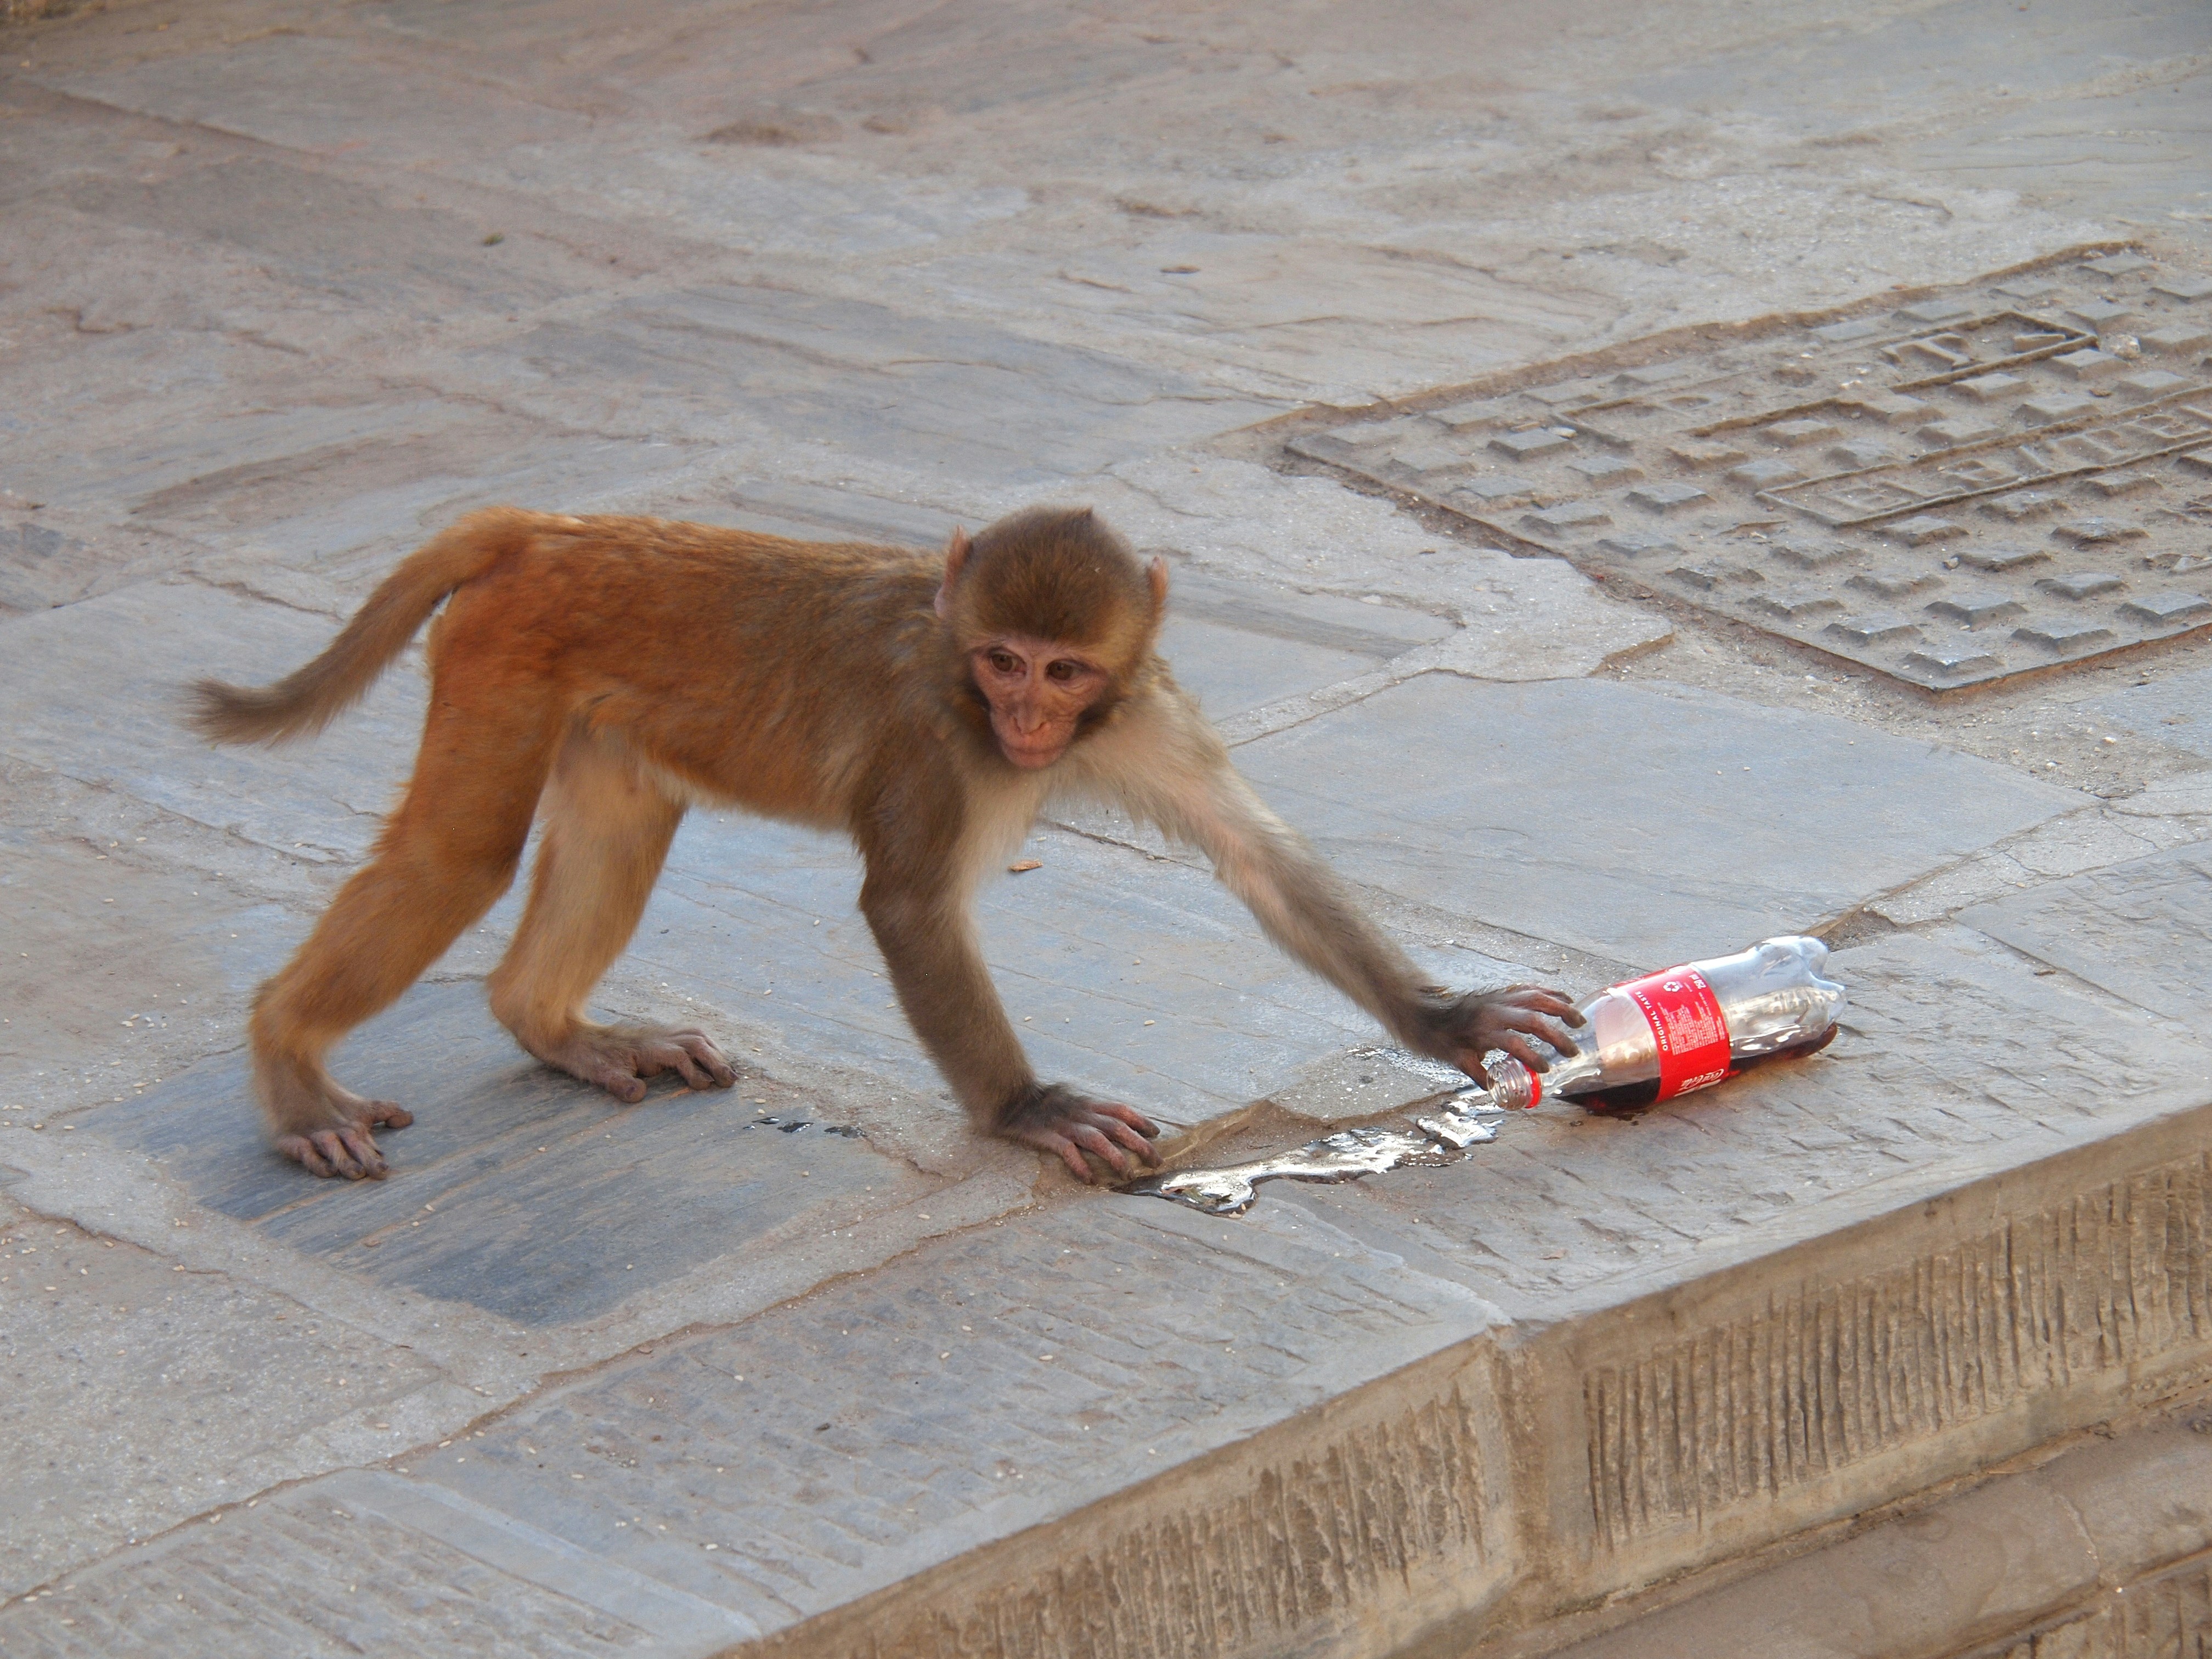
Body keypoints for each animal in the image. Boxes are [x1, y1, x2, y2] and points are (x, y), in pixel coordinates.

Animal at [189, 504, 1584, 1183]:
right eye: (1001, 662)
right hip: (503, 659)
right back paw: (288, 1064)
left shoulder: (1144, 713)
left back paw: (556, 1026)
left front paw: (1448, 1018)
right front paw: (1026, 1109)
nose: (1027, 720)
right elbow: (910, 908)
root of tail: (548, 528)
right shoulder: (931, 742)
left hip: (585, 711)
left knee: (619, 821)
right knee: (458, 859)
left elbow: (1261, 860)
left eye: (1065, 668)